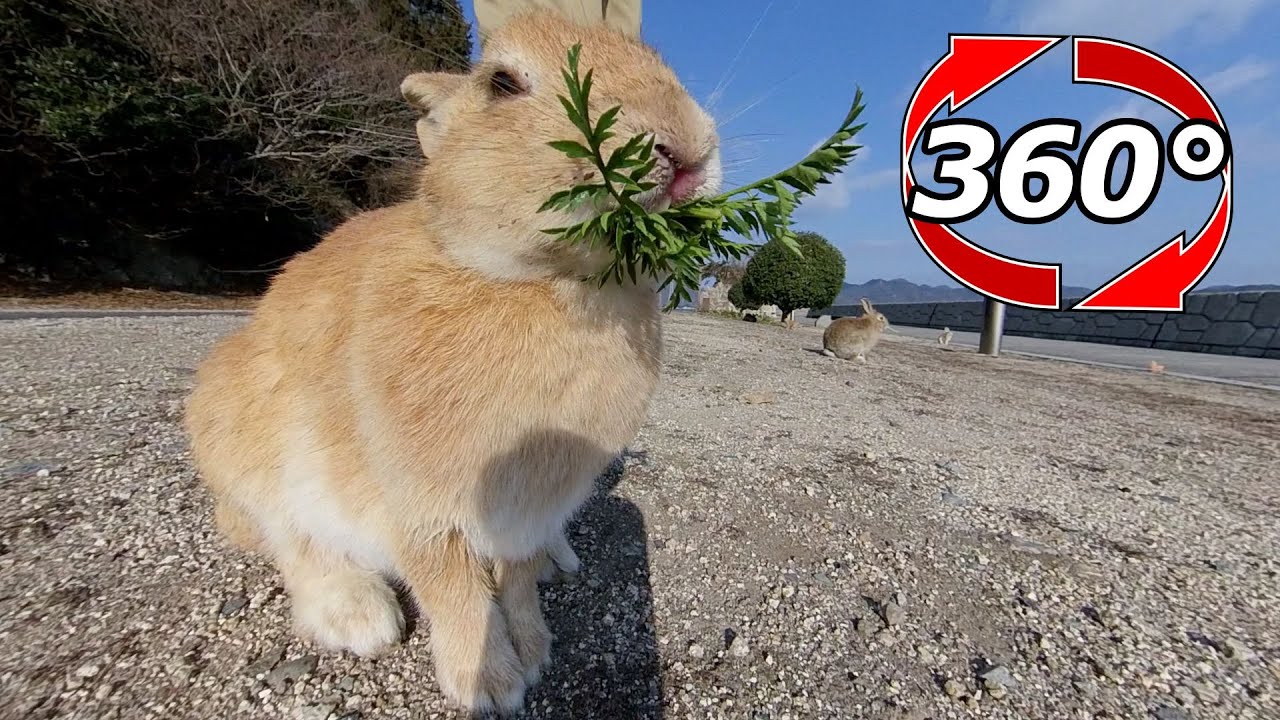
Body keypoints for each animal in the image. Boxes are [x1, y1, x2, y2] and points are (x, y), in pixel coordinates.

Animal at [182, 9, 722, 715]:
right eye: (502, 84)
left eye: (653, 57)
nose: (686, 148)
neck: (547, 284)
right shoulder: (423, 505)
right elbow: (455, 590)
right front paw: (490, 684)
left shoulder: (527, 514)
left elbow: (515, 581)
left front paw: (536, 651)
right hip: (249, 445)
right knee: (293, 540)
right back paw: (360, 617)